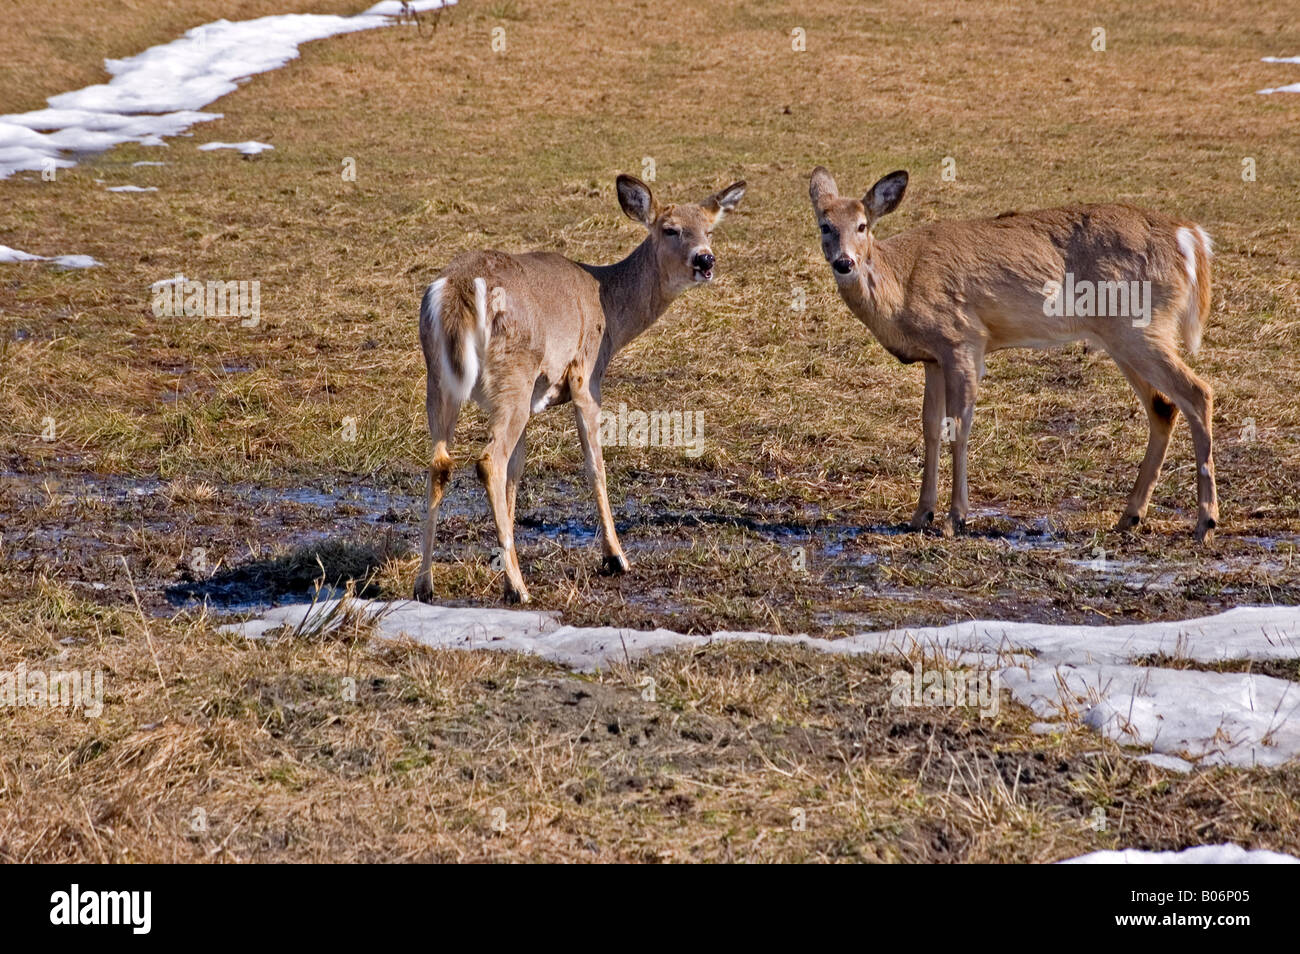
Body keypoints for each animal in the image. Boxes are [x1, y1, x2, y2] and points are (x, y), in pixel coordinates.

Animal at [413, 174, 746, 604]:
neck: (609, 306)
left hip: (442, 380)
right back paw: (520, 589)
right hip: (514, 372)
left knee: (442, 462)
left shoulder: (533, 400)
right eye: (670, 229)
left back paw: (425, 584)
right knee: (488, 461)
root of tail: (461, 289)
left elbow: (517, 473)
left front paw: (500, 560)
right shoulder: (586, 377)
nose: (705, 260)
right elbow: (595, 465)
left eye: (710, 230)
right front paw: (615, 557)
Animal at [808, 166, 1217, 541]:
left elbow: (960, 426)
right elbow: (930, 428)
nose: (844, 262)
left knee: (1198, 392)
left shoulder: (963, 340)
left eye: (862, 225)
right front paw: (920, 515)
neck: (901, 286)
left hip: (1138, 327)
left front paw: (956, 518)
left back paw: (1205, 523)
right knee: (1164, 407)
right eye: (824, 225)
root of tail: (1189, 237)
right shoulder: (932, 359)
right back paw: (1129, 517)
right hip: (1124, 336)